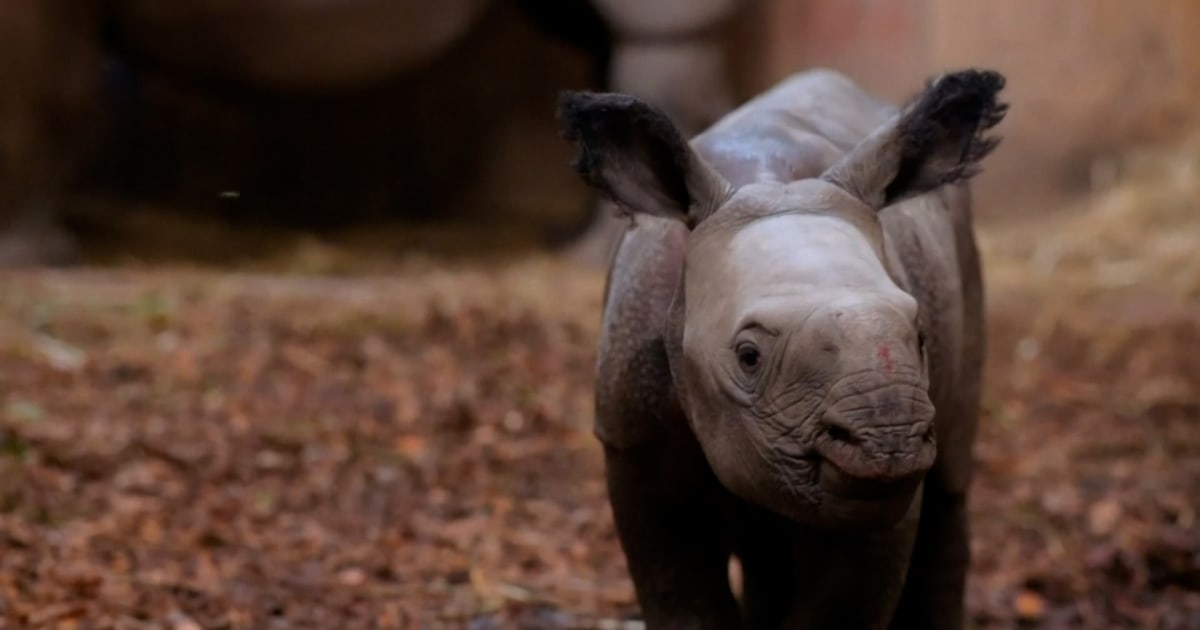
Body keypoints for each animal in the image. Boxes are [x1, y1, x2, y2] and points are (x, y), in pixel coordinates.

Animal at [558, 67, 1006, 629]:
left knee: (950, 479)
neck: (768, 182)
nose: (890, 439)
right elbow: (681, 600)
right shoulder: (633, 439)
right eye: (748, 356)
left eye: (920, 335)